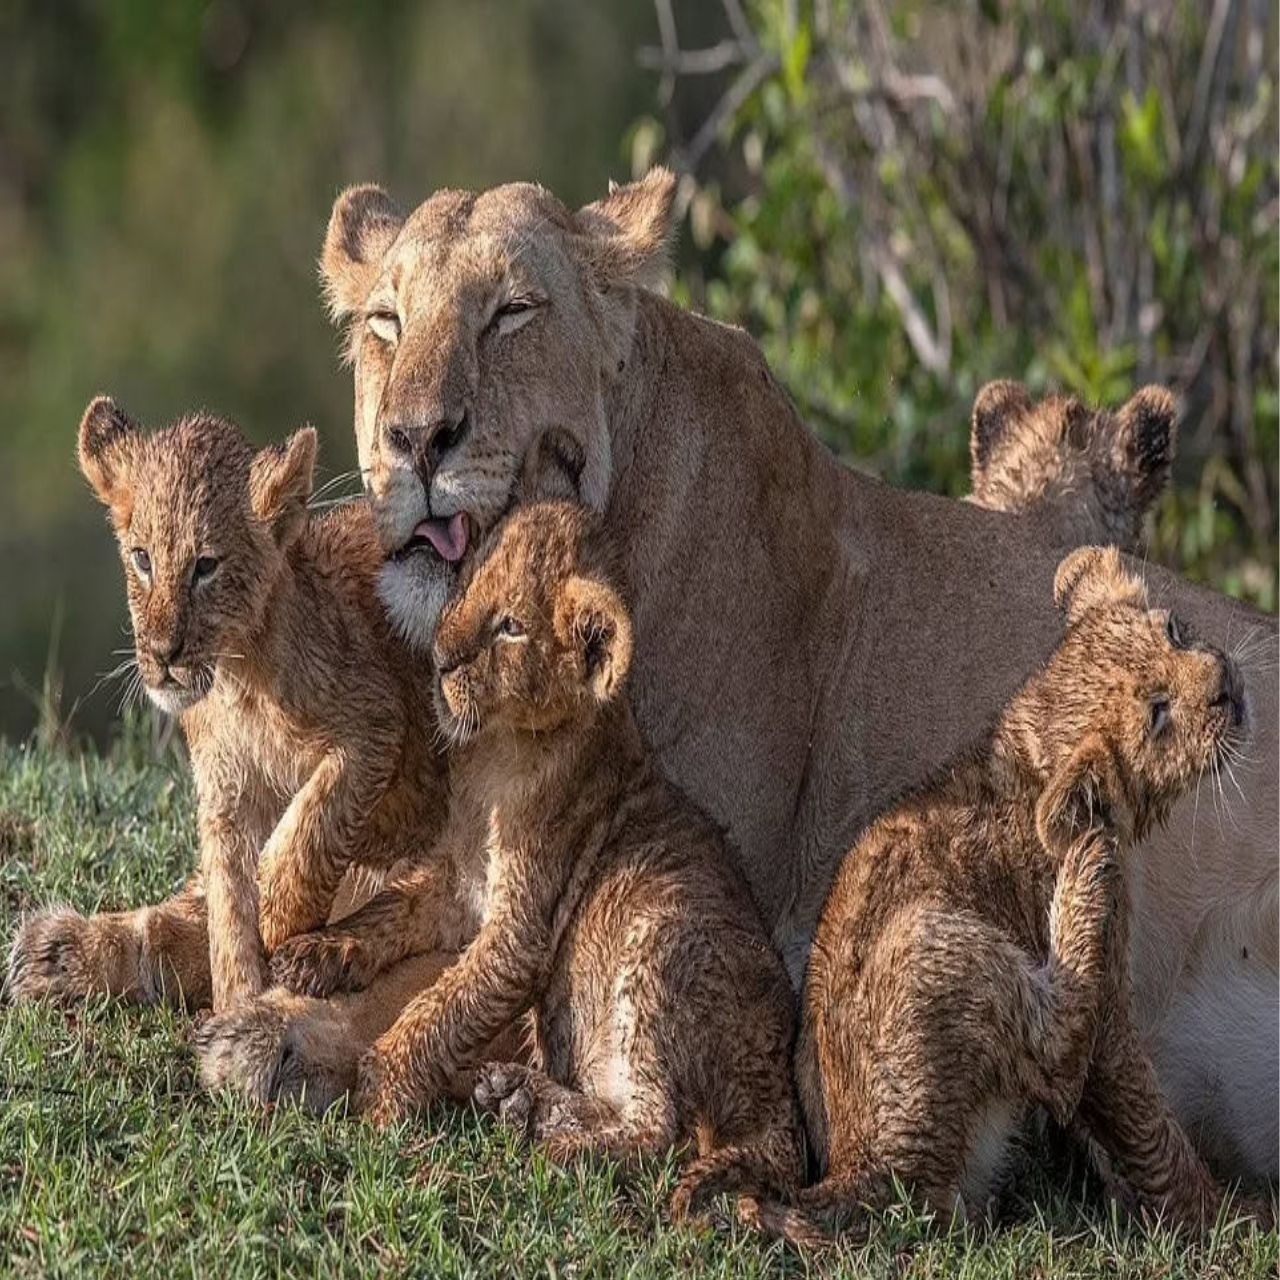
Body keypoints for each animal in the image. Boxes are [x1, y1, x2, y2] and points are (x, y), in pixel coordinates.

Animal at [750, 547, 1250, 1243]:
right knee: (1056, 1048)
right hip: (930, 939)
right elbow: (1144, 1120)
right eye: (1158, 713)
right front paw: (1229, 1217)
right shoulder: (1111, 1020)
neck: (1040, 743)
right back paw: (1082, 881)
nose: (1228, 684)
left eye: (1176, 631)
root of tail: (855, 1162)